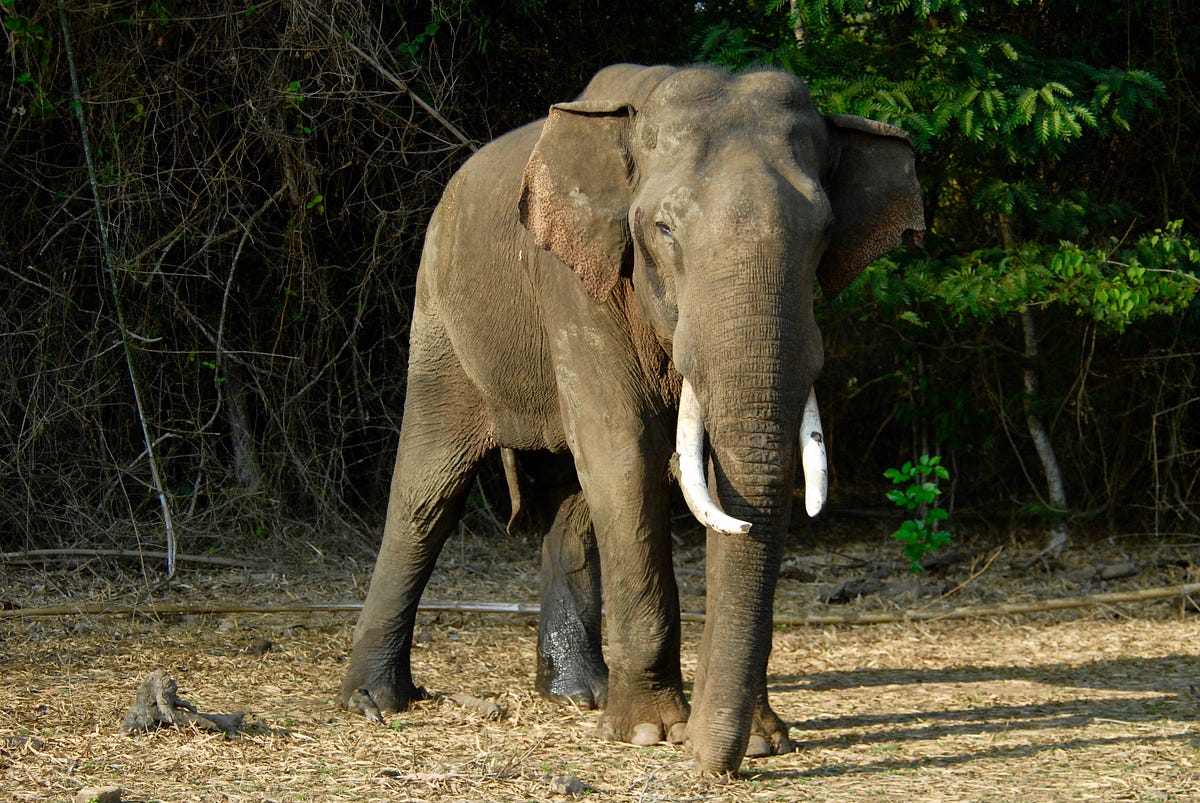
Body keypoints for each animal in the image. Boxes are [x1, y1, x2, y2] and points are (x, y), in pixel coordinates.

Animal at [340, 62, 924, 775]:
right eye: (664, 229)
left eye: (822, 234)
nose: (710, 763)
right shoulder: (573, 281)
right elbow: (625, 456)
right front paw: (649, 732)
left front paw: (760, 740)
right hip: (440, 319)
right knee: (429, 491)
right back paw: (374, 702)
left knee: (570, 501)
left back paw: (577, 695)